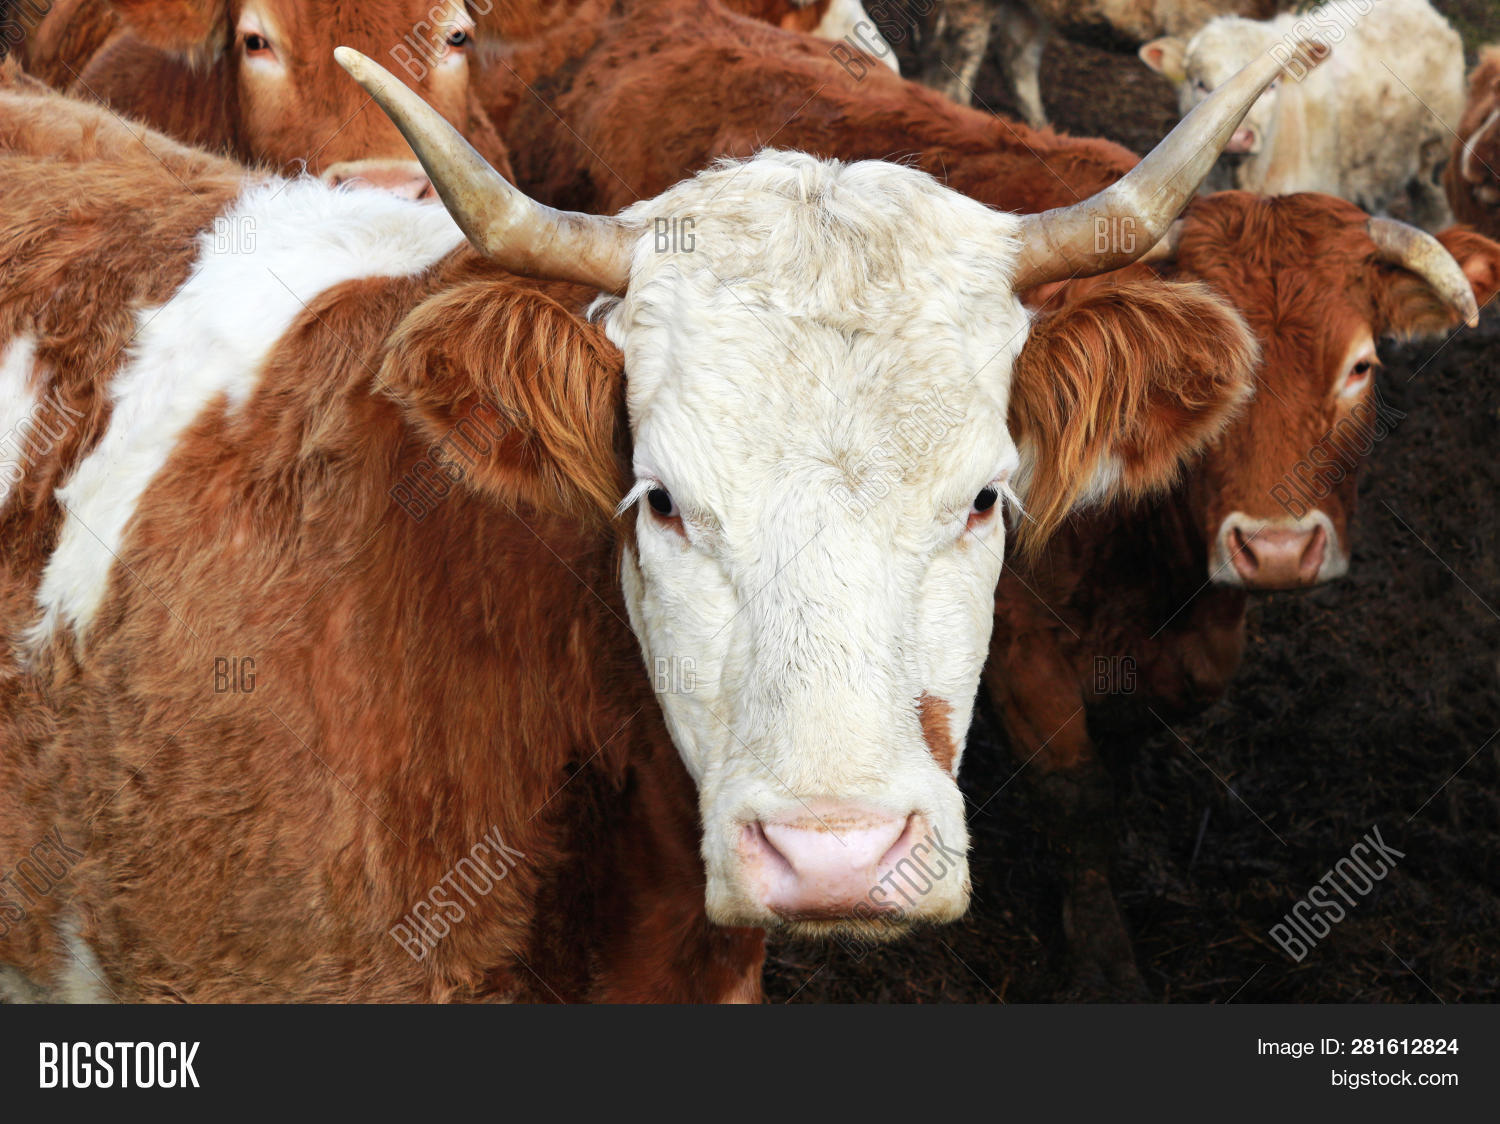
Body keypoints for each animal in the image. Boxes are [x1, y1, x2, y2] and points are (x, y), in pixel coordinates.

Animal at [986, 192, 1500, 992]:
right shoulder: (1018, 642)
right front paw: (1104, 962)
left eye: (1360, 366)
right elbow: (1077, 796)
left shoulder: (1189, 652)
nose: (1279, 551)